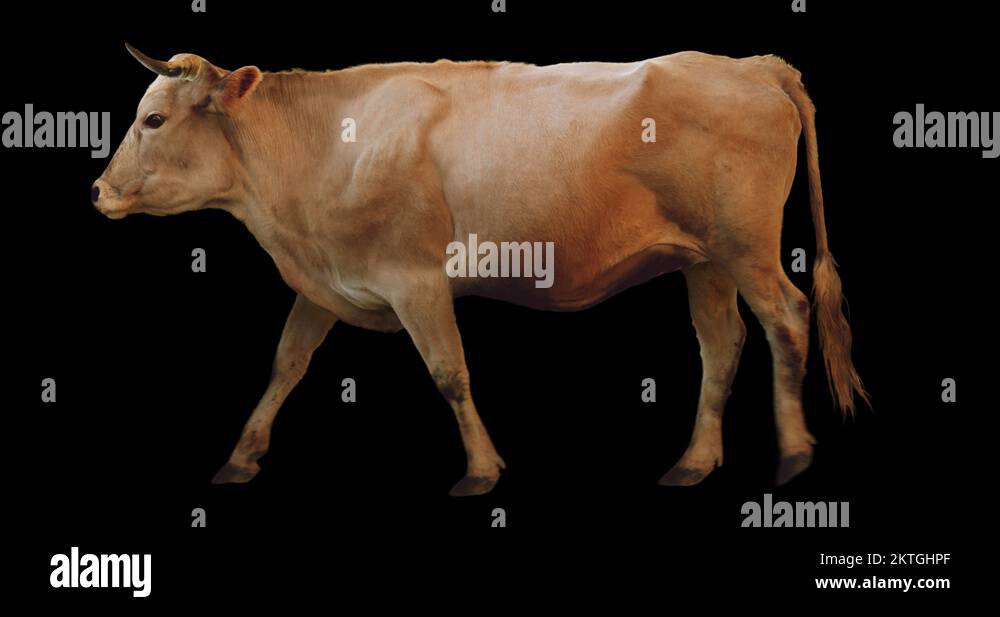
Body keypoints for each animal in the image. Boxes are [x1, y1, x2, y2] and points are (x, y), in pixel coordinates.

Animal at [92, 44, 869, 496]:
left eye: (153, 120)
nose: (98, 190)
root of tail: (749, 63)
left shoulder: (414, 278)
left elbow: (449, 373)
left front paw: (481, 469)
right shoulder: (329, 279)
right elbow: (285, 362)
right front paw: (241, 457)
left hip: (747, 246)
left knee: (786, 320)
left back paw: (795, 451)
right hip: (703, 257)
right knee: (721, 343)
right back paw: (694, 460)